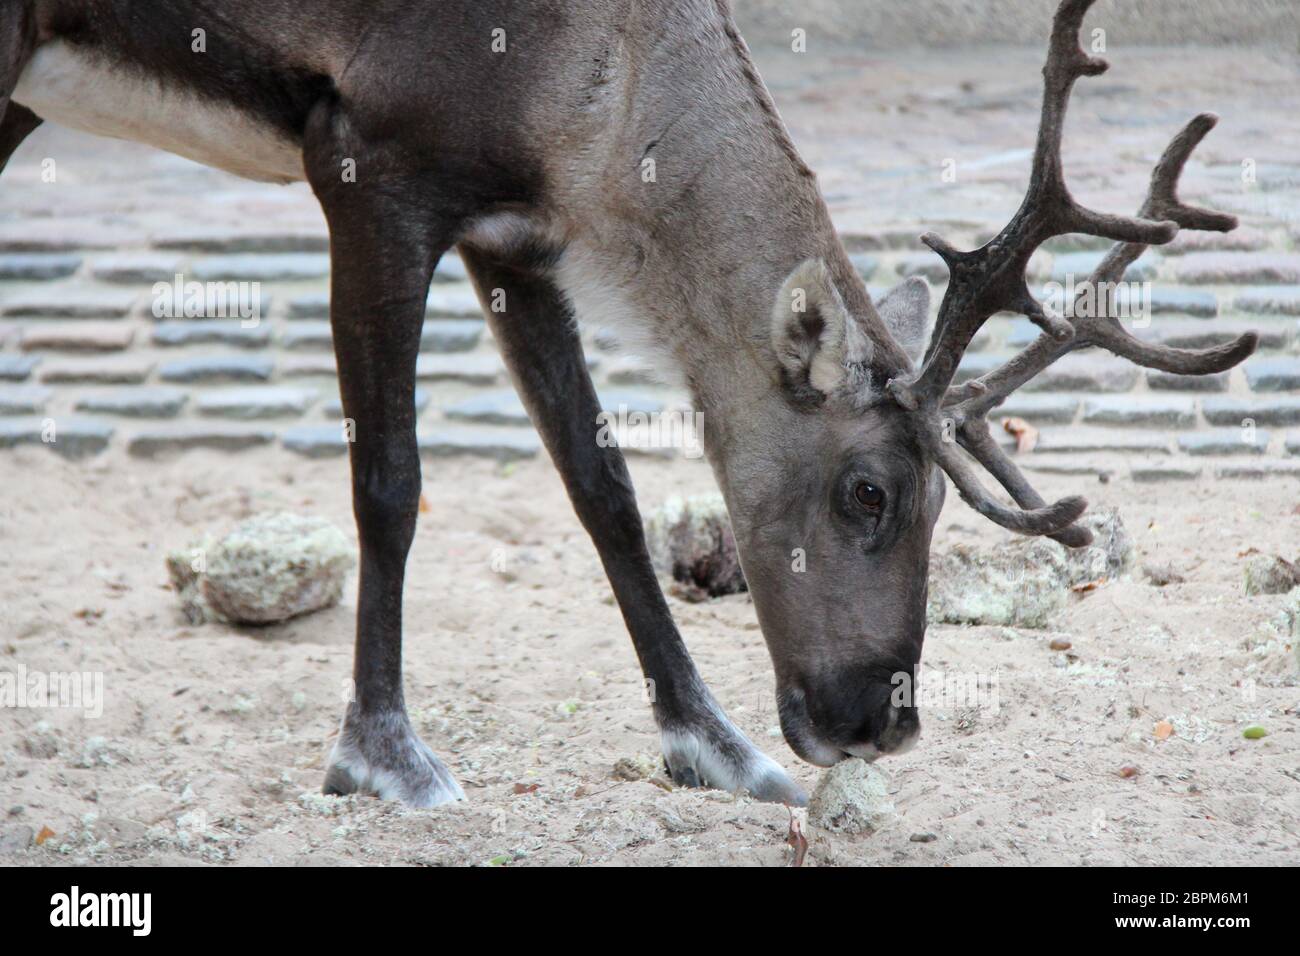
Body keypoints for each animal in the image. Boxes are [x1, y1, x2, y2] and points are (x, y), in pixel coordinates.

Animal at [0, 0, 1257, 808]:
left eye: (947, 504)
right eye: (867, 490)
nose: (882, 721)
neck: (602, 85)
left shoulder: (512, 232)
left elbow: (601, 484)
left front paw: (714, 743)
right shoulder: (371, 163)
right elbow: (389, 483)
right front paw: (383, 756)